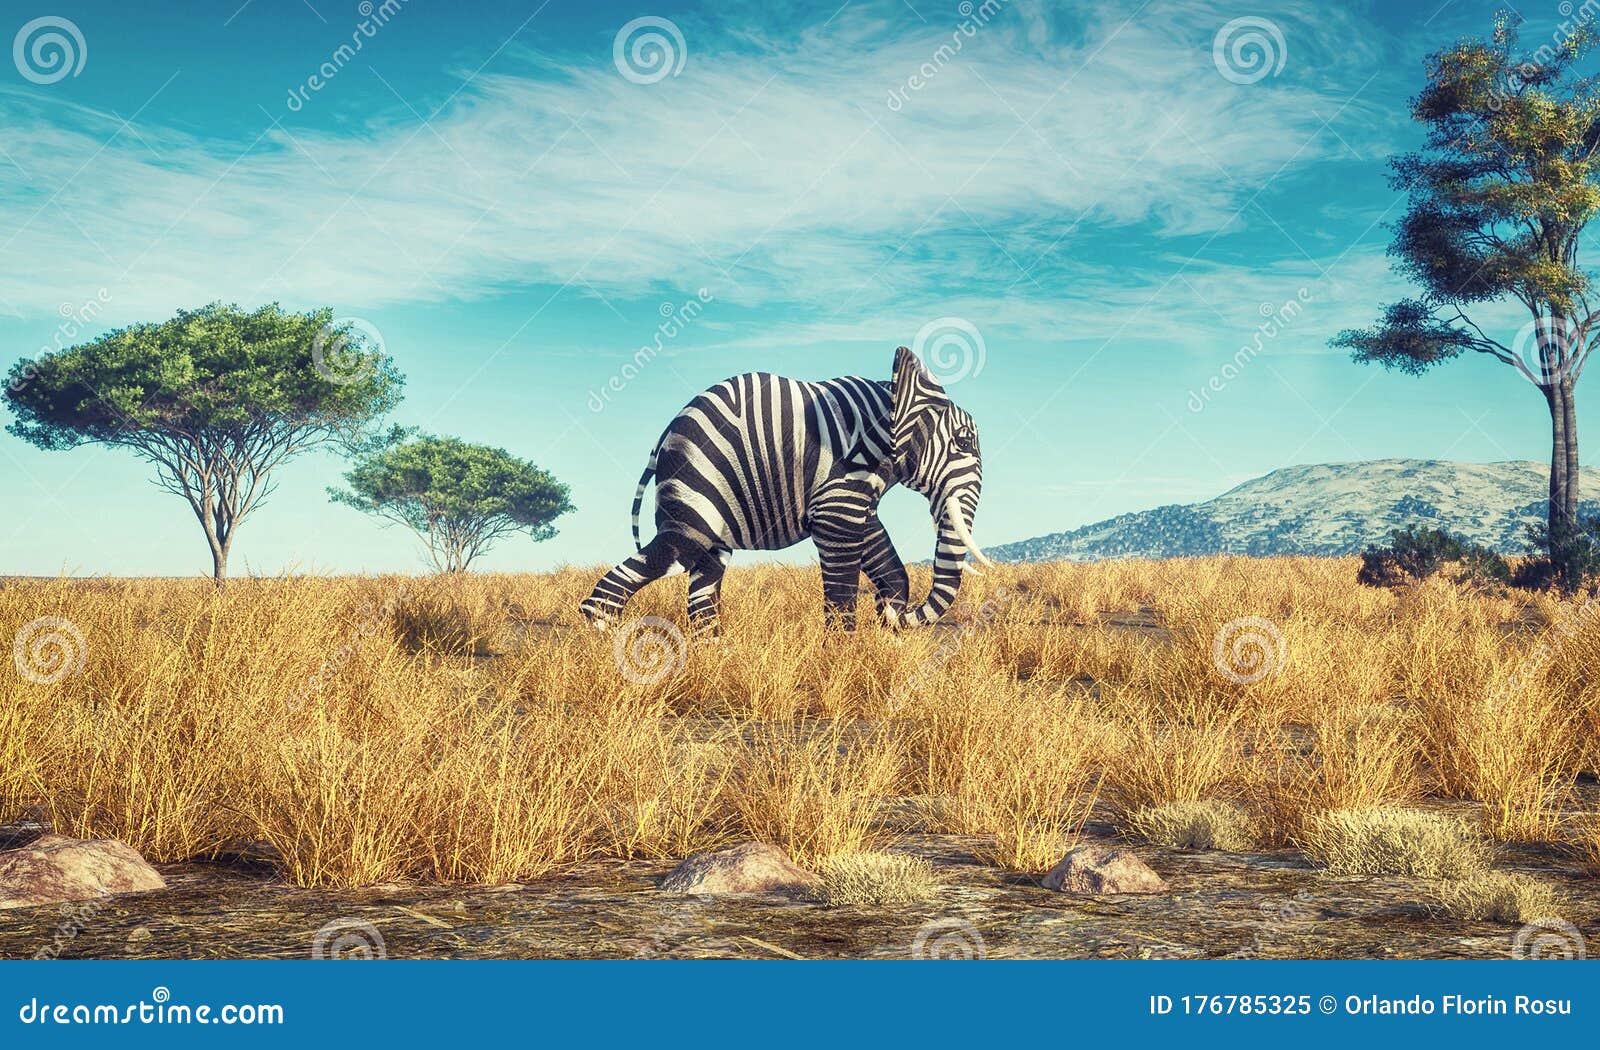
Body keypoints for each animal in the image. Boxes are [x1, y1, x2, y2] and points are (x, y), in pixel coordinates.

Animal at [581, 346, 991, 635]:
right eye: (963, 441)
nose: (898, 617)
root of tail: (664, 434)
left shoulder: (856, 494)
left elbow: (888, 564)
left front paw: (884, 626)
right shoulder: (838, 486)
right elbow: (842, 581)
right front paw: (842, 662)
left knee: (705, 580)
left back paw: (710, 662)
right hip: (696, 484)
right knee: (677, 552)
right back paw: (605, 646)